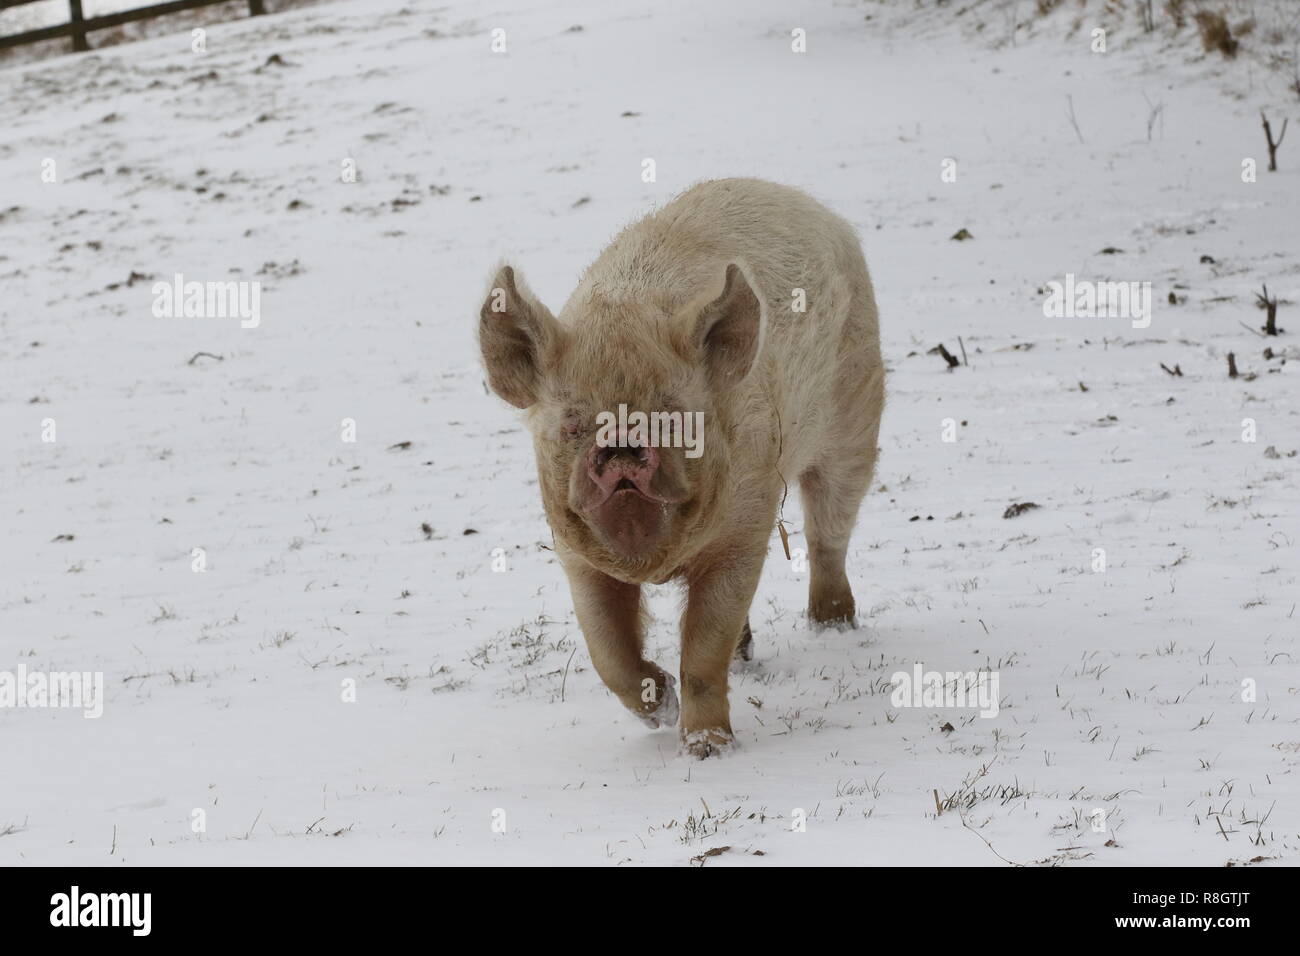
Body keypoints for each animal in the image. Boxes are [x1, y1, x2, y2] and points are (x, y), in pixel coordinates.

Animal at [478, 178, 884, 757]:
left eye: (674, 419)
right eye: (573, 425)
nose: (621, 442)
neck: (655, 562)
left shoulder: (745, 529)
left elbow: (703, 653)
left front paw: (708, 751)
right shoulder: (575, 554)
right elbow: (607, 652)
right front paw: (661, 708)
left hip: (855, 413)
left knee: (830, 528)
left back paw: (833, 628)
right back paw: (750, 653)